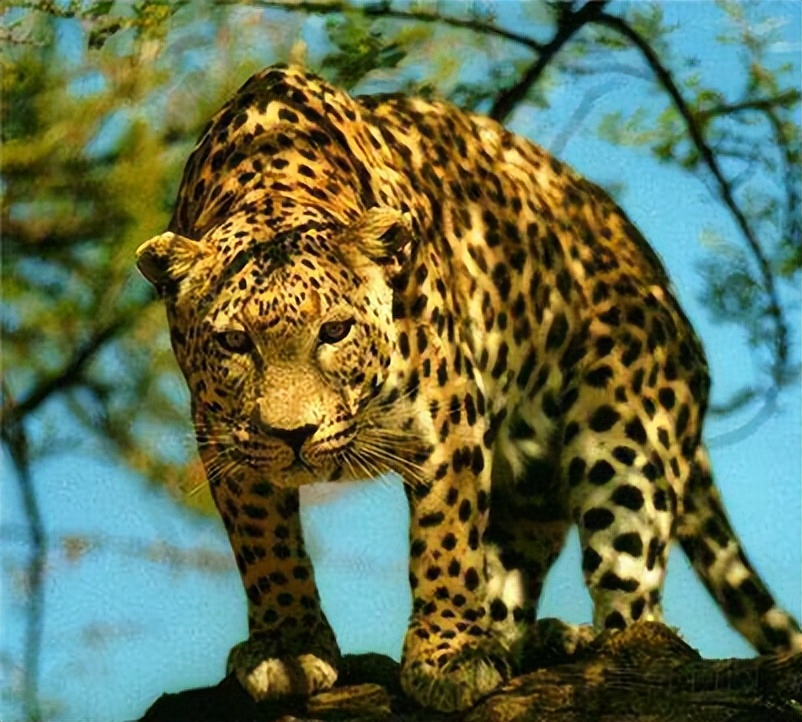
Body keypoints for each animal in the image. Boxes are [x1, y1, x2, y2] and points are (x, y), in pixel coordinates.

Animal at [136, 64, 801, 712]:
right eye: (233, 342)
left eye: (334, 330)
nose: (294, 434)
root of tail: (660, 283)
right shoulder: (225, 435)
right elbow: (266, 548)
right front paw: (289, 647)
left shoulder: (448, 414)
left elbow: (447, 536)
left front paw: (447, 657)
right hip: (531, 488)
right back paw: (528, 641)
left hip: (627, 442)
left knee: (635, 601)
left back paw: (605, 650)